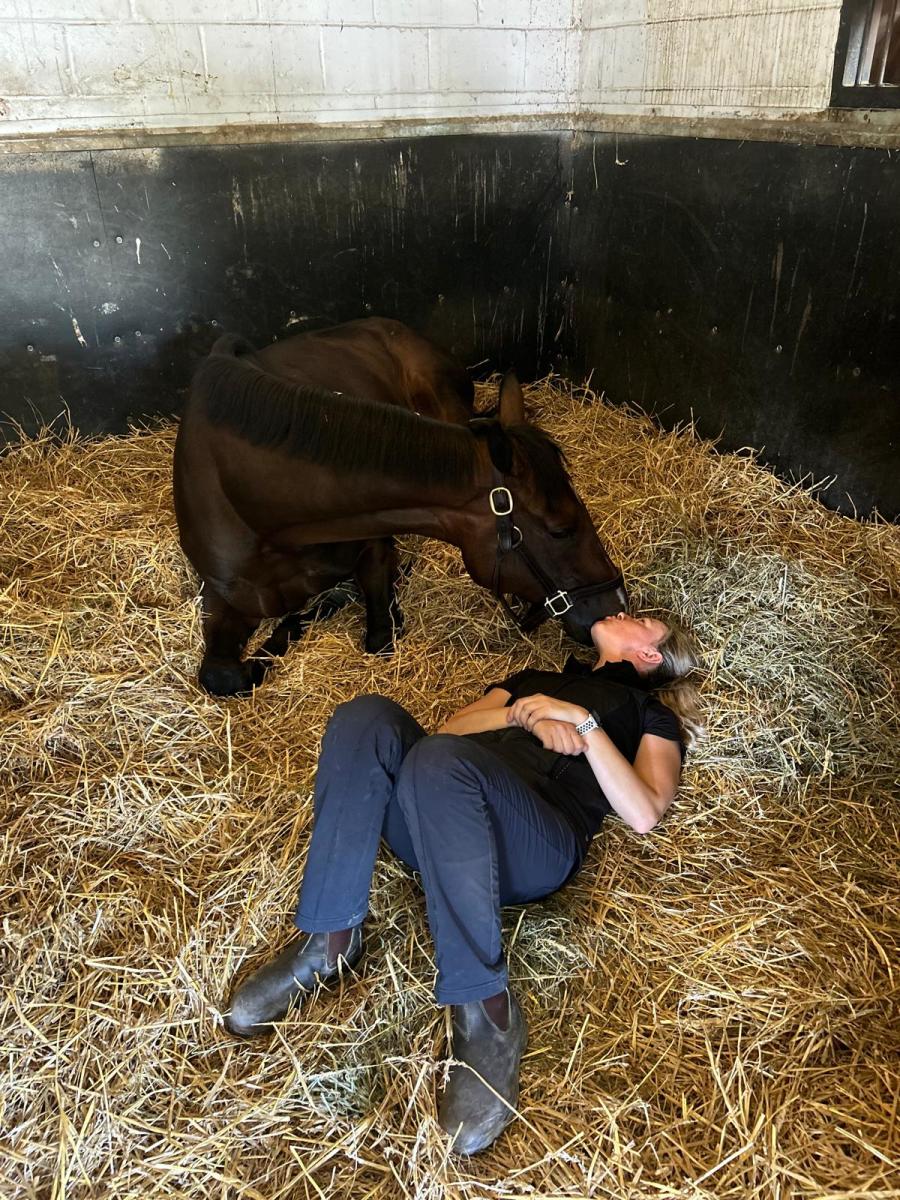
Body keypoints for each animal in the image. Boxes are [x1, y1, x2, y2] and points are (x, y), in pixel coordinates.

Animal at [173, 318, 627, 696]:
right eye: (560, 529)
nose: (618, 606)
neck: (261, 508)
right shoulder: (220, 596)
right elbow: (220, 675)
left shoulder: (374, 544)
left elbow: (376, 635)